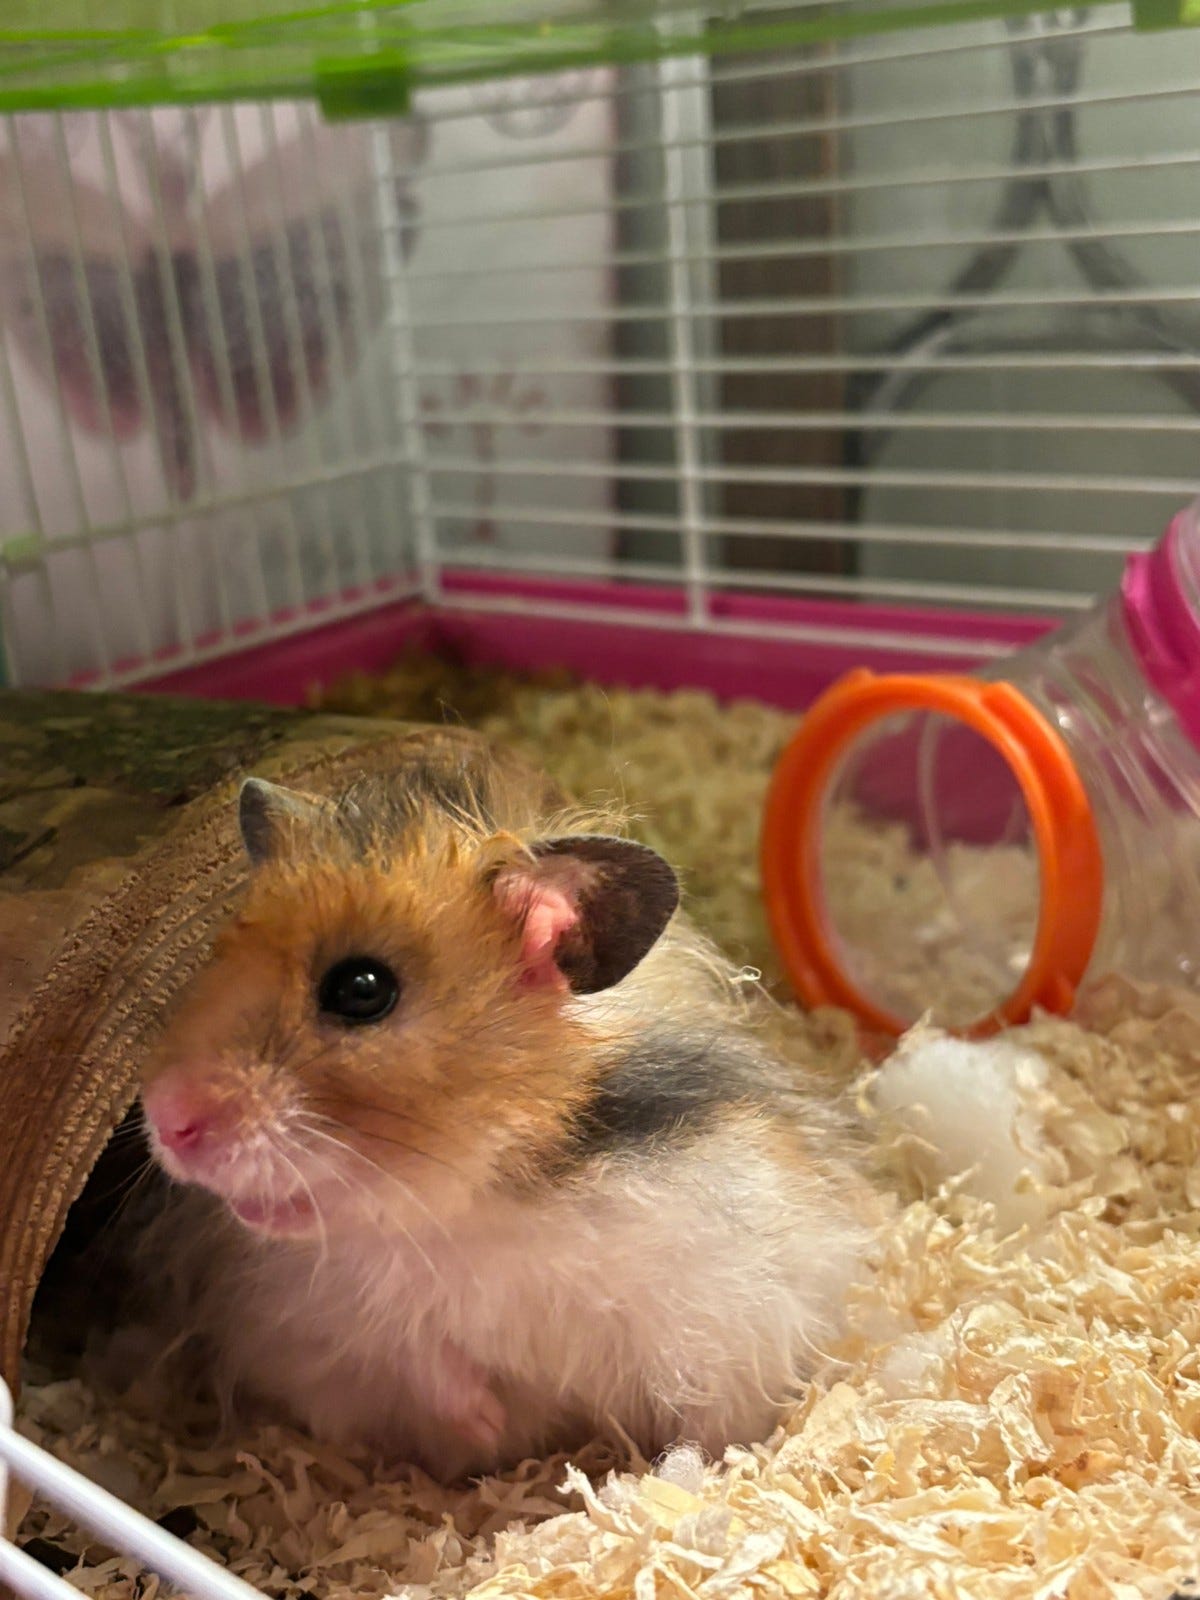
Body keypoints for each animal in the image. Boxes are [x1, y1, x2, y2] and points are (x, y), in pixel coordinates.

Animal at [134, 727, 878, 1480]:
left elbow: (698, 1419)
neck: (477, 1207)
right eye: (218, 955)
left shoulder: (730, 1300)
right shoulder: (323, 1312)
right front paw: (487, 1426)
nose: (166, 1122)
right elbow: (424, 1353)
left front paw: (659, 1477)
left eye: (361, 989)